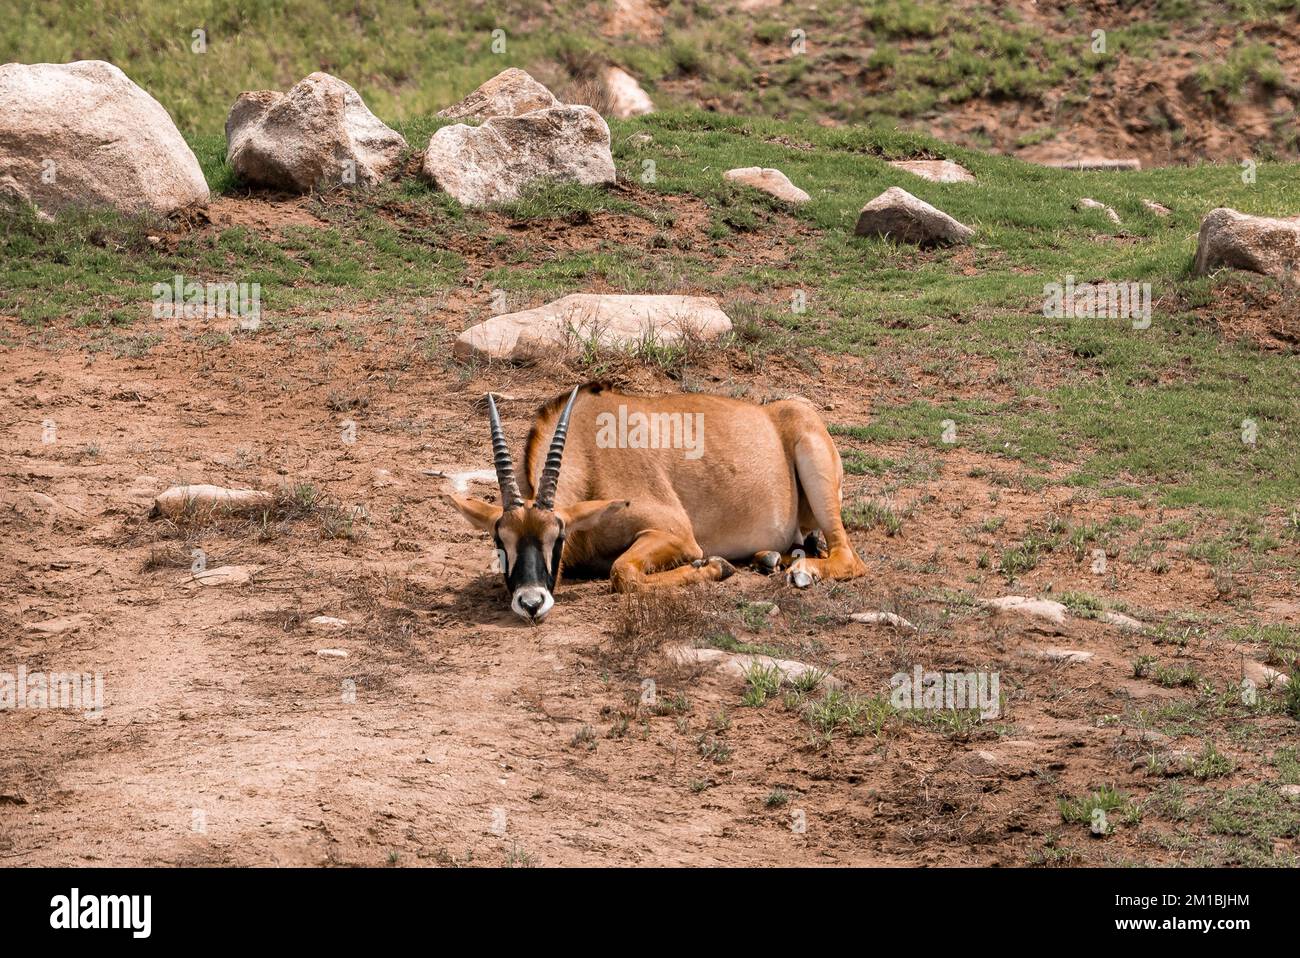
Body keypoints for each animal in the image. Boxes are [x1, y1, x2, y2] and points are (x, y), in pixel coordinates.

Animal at [445, 383, 867, 622]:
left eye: (556, 537)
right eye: (500, 541)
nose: (531, 602)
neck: (593, 450)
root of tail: (777, 410)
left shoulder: (677, 534)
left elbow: (623, 573)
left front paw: (715, 567)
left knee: (848, 558)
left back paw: (801, 572)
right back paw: (769, 559)